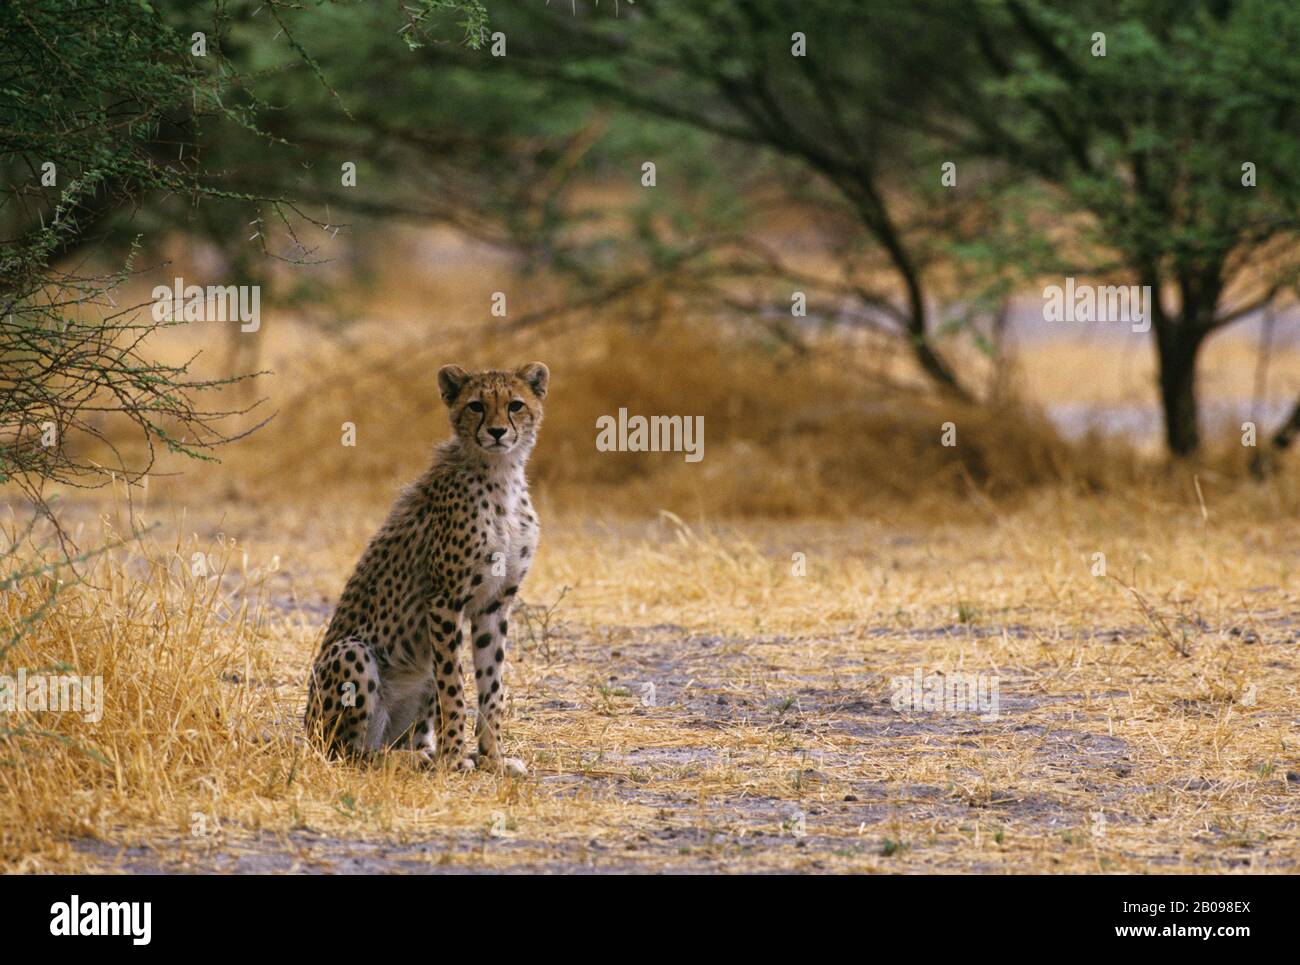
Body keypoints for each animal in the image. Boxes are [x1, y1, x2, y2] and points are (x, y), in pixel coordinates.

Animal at [304, 361, 548, 777]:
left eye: (515, 405)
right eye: (476, 406)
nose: (497, 431)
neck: (500, 475)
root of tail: (304, 731)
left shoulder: (494, 603)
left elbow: (492, 686)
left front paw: (493, 758)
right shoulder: (445, 600)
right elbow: (456, 687)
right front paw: (454, 756)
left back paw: (424, 752)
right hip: (351, 654)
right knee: (350, 752)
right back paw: (417, 758)